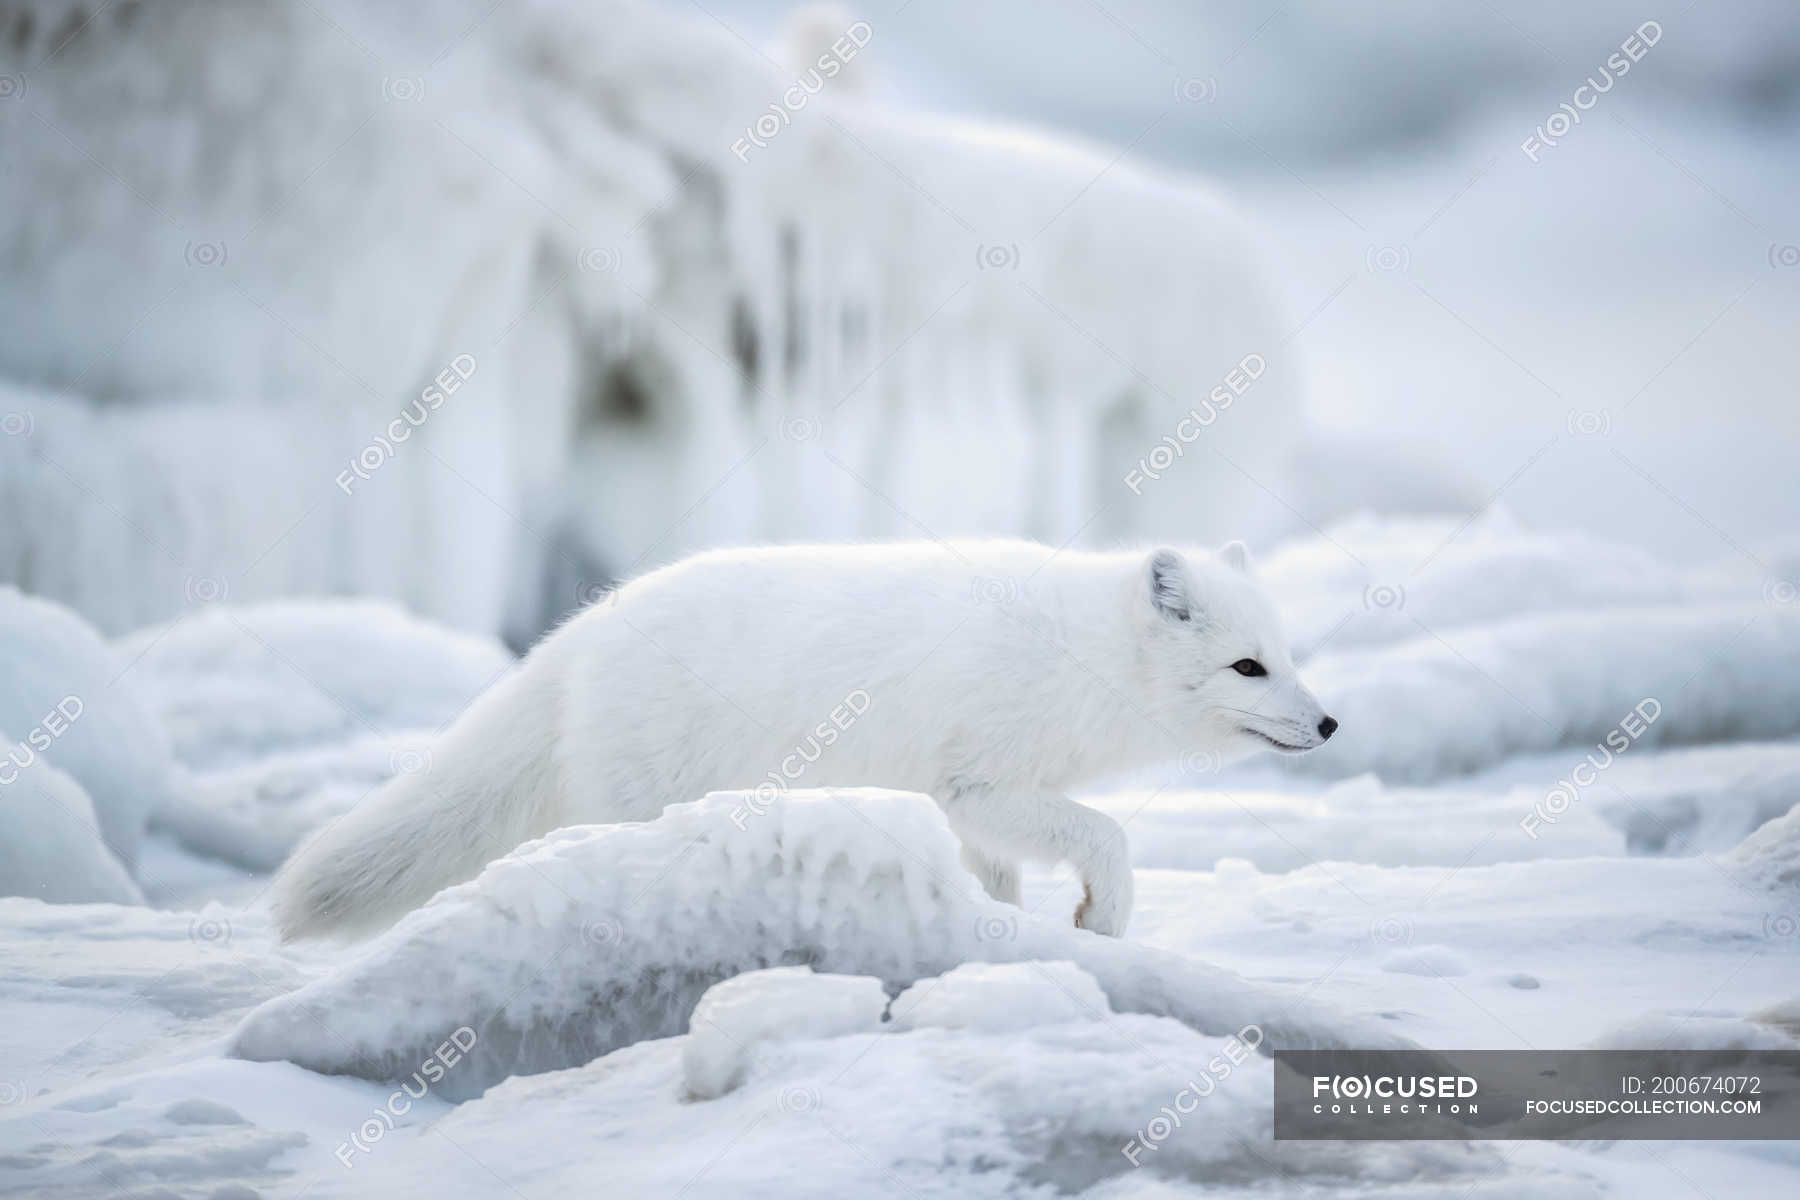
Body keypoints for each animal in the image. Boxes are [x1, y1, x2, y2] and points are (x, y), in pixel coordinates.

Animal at [273, 540, 1335, 940]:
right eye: (1247, 668)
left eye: (1289, 657)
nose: (1328, 722)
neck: (1084, 655)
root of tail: (577, 634)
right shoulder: (980, 783)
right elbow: (1107, 837)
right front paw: (1101, 920)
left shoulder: (974, 806)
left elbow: (1000, 882)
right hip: (645, 797)